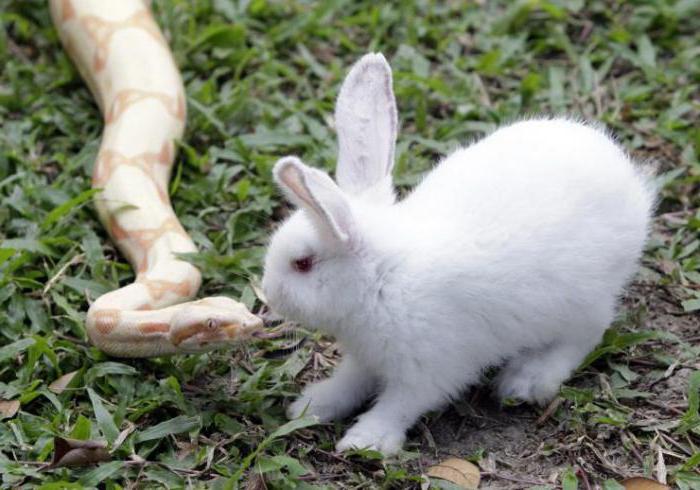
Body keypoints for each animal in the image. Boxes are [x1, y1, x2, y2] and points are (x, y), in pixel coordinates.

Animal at [260, 51, 652, 454]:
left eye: (303, 264)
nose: (269, 294)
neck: (382, 281)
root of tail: (628, 180)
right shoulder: (365, 359)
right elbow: (349, 382)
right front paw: (310, 406)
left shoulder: (429, 369)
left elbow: (400, 404)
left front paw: (366, 442)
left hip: (581, 300)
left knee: (585, 335)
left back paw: (526, 379)